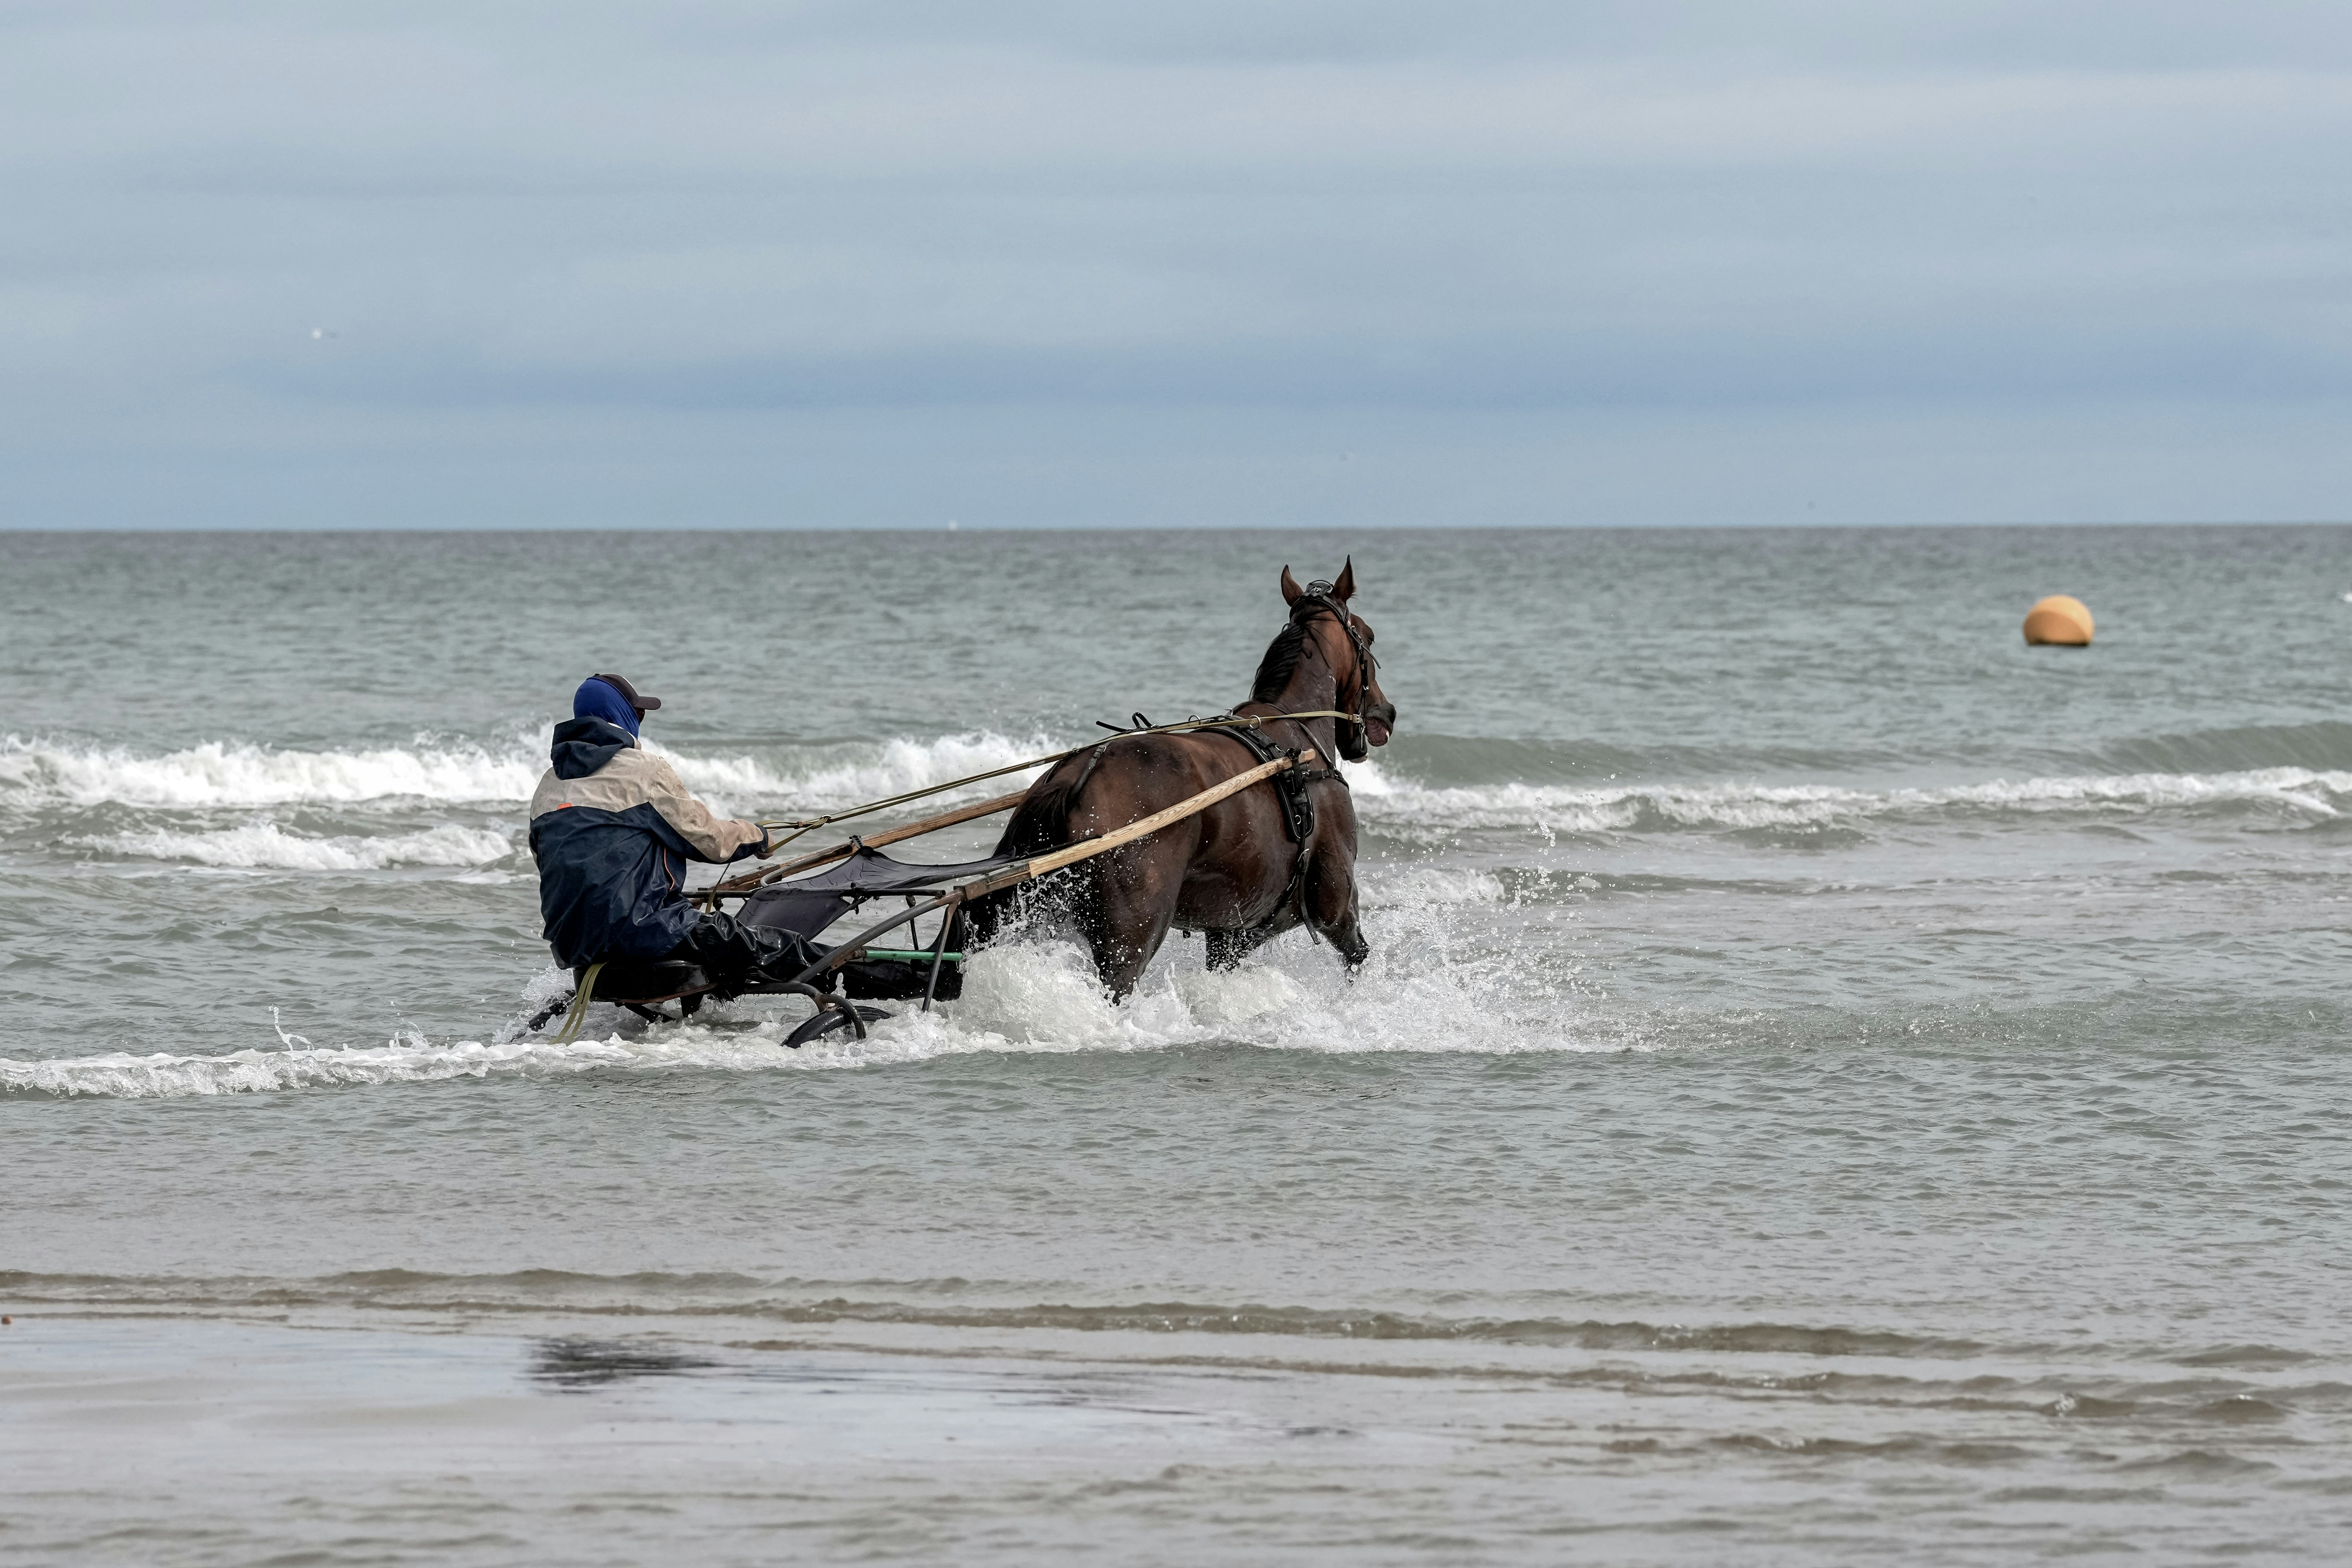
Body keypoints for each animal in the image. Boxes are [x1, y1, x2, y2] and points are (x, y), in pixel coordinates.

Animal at [964, 558, 1398, 1000]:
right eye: (1368, 635)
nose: (1387, 712)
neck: (1295, 734)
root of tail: (1077, 777)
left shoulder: (1234, 933)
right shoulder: (1336, 906)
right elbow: (1357, 956)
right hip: (1130, 941)